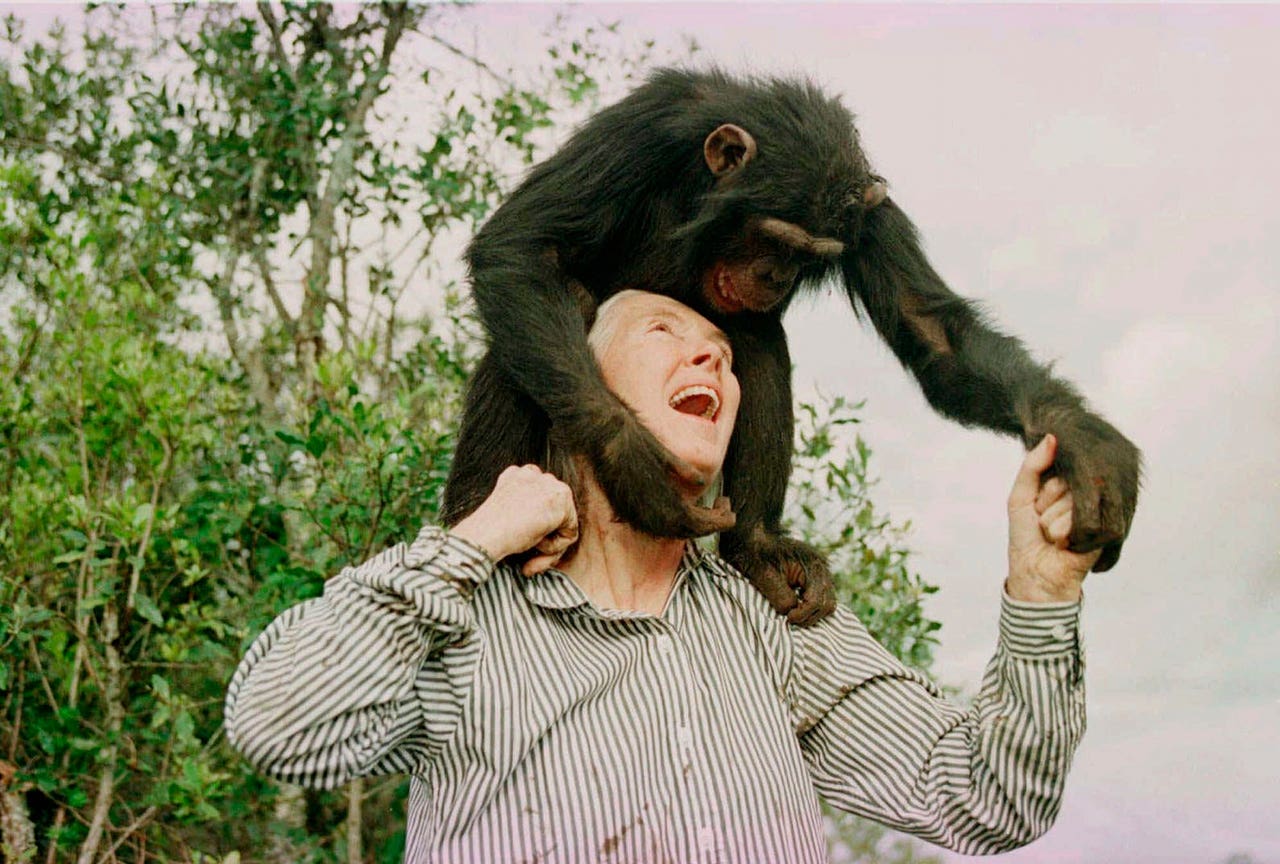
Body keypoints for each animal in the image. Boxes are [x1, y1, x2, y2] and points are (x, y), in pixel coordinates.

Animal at [440, 68, 1141, 624]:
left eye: (809, 255)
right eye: (774, 238)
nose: (775, 275)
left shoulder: (870, 217)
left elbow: (932, 331)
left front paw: (1084, 443)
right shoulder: (640, 130)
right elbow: (524, 245)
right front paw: (634, 468)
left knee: (758, 340)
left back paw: (757, 545)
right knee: (538, 328)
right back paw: (476, 519)